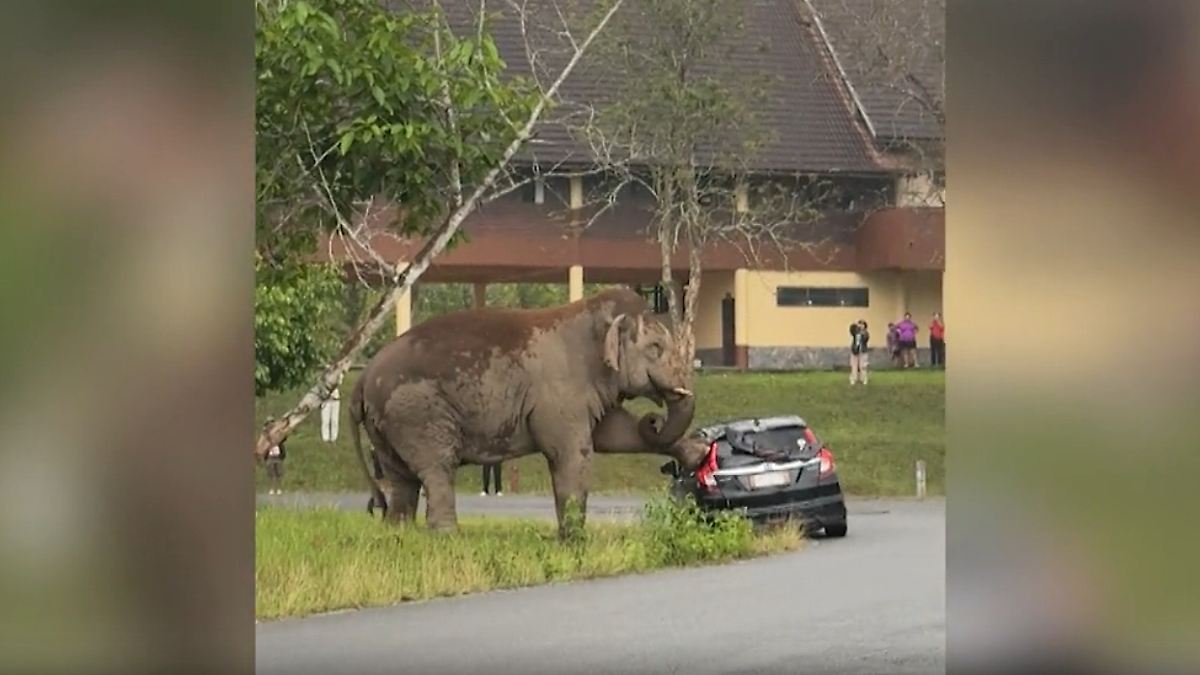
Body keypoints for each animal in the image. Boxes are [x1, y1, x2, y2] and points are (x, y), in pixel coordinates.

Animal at [349, 288, 702, 537]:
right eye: (656, 348)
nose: (654, 419)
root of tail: (363, 377)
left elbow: (614, 433)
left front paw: (697, 453)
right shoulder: (561, 392)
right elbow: (573, 452)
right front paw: (574, 541)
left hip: (386, 423)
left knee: (402, 478)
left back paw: (399, 533)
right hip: (416, 413)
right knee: (437, 468)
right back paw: (447, 535)